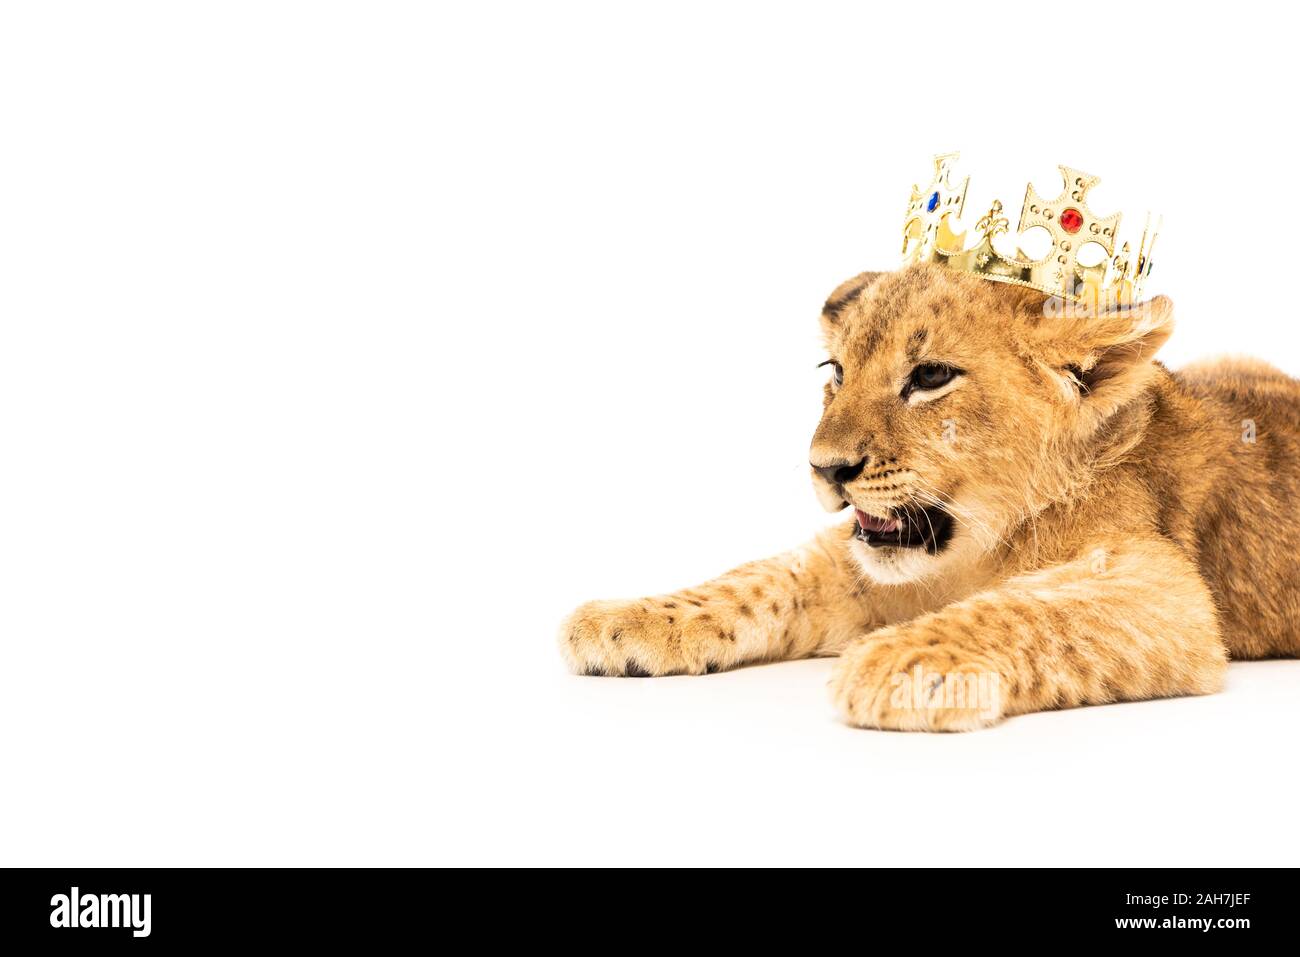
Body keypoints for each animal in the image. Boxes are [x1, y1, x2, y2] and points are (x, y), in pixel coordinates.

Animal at [558, 262, 1300, 730]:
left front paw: (902, 661)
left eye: (932, 377)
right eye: (836, 371)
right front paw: (622, 618)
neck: (976, 550)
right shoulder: (862, 562)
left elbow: (1028, 608)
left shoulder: (1167, 592)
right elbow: (760, 579)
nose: (826, 468)